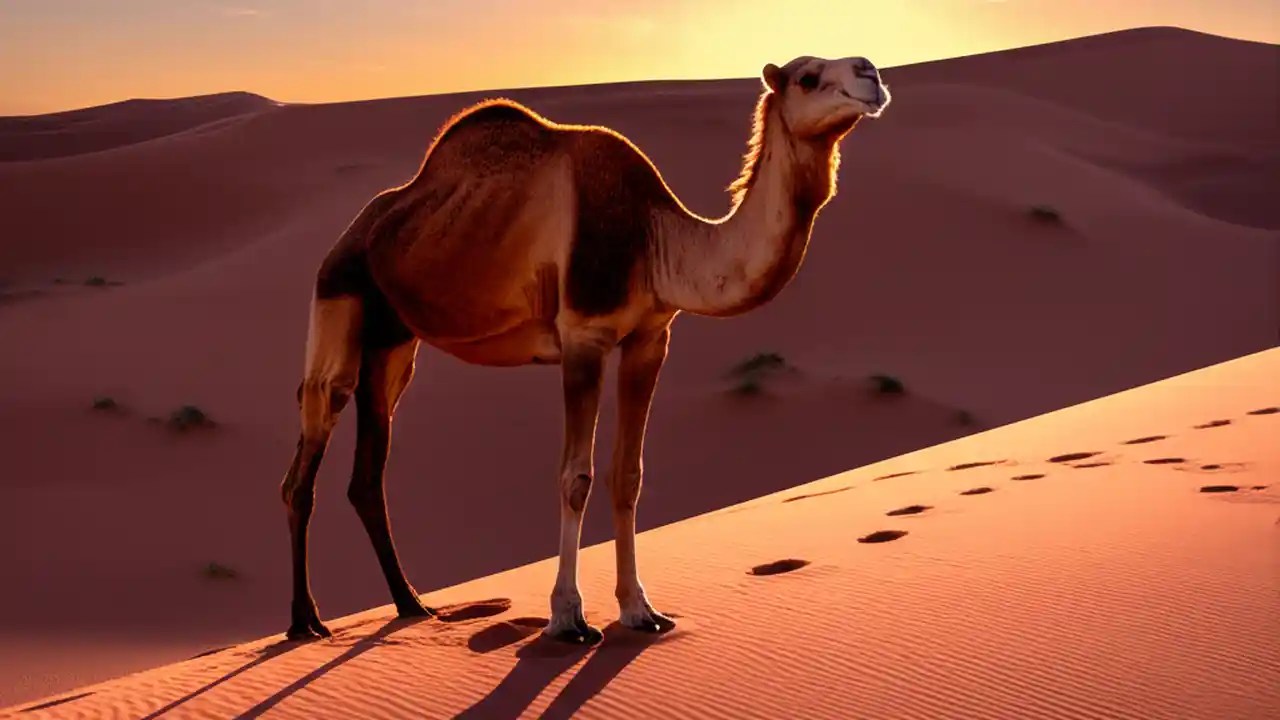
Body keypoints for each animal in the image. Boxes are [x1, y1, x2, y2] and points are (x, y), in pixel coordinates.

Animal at [280, 55, 891, 643]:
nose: (871, 72)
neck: (654, 238)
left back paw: (411, 604)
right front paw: (568, 618)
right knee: (309, 445)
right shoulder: (583, 337)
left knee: (368, 470)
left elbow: (629, 475)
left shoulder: (650, 338)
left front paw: (641, 610)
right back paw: (304, 621)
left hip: (391, 343)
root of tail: (358, 229)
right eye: (808, 76)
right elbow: (575, 477)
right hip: (337, 291)